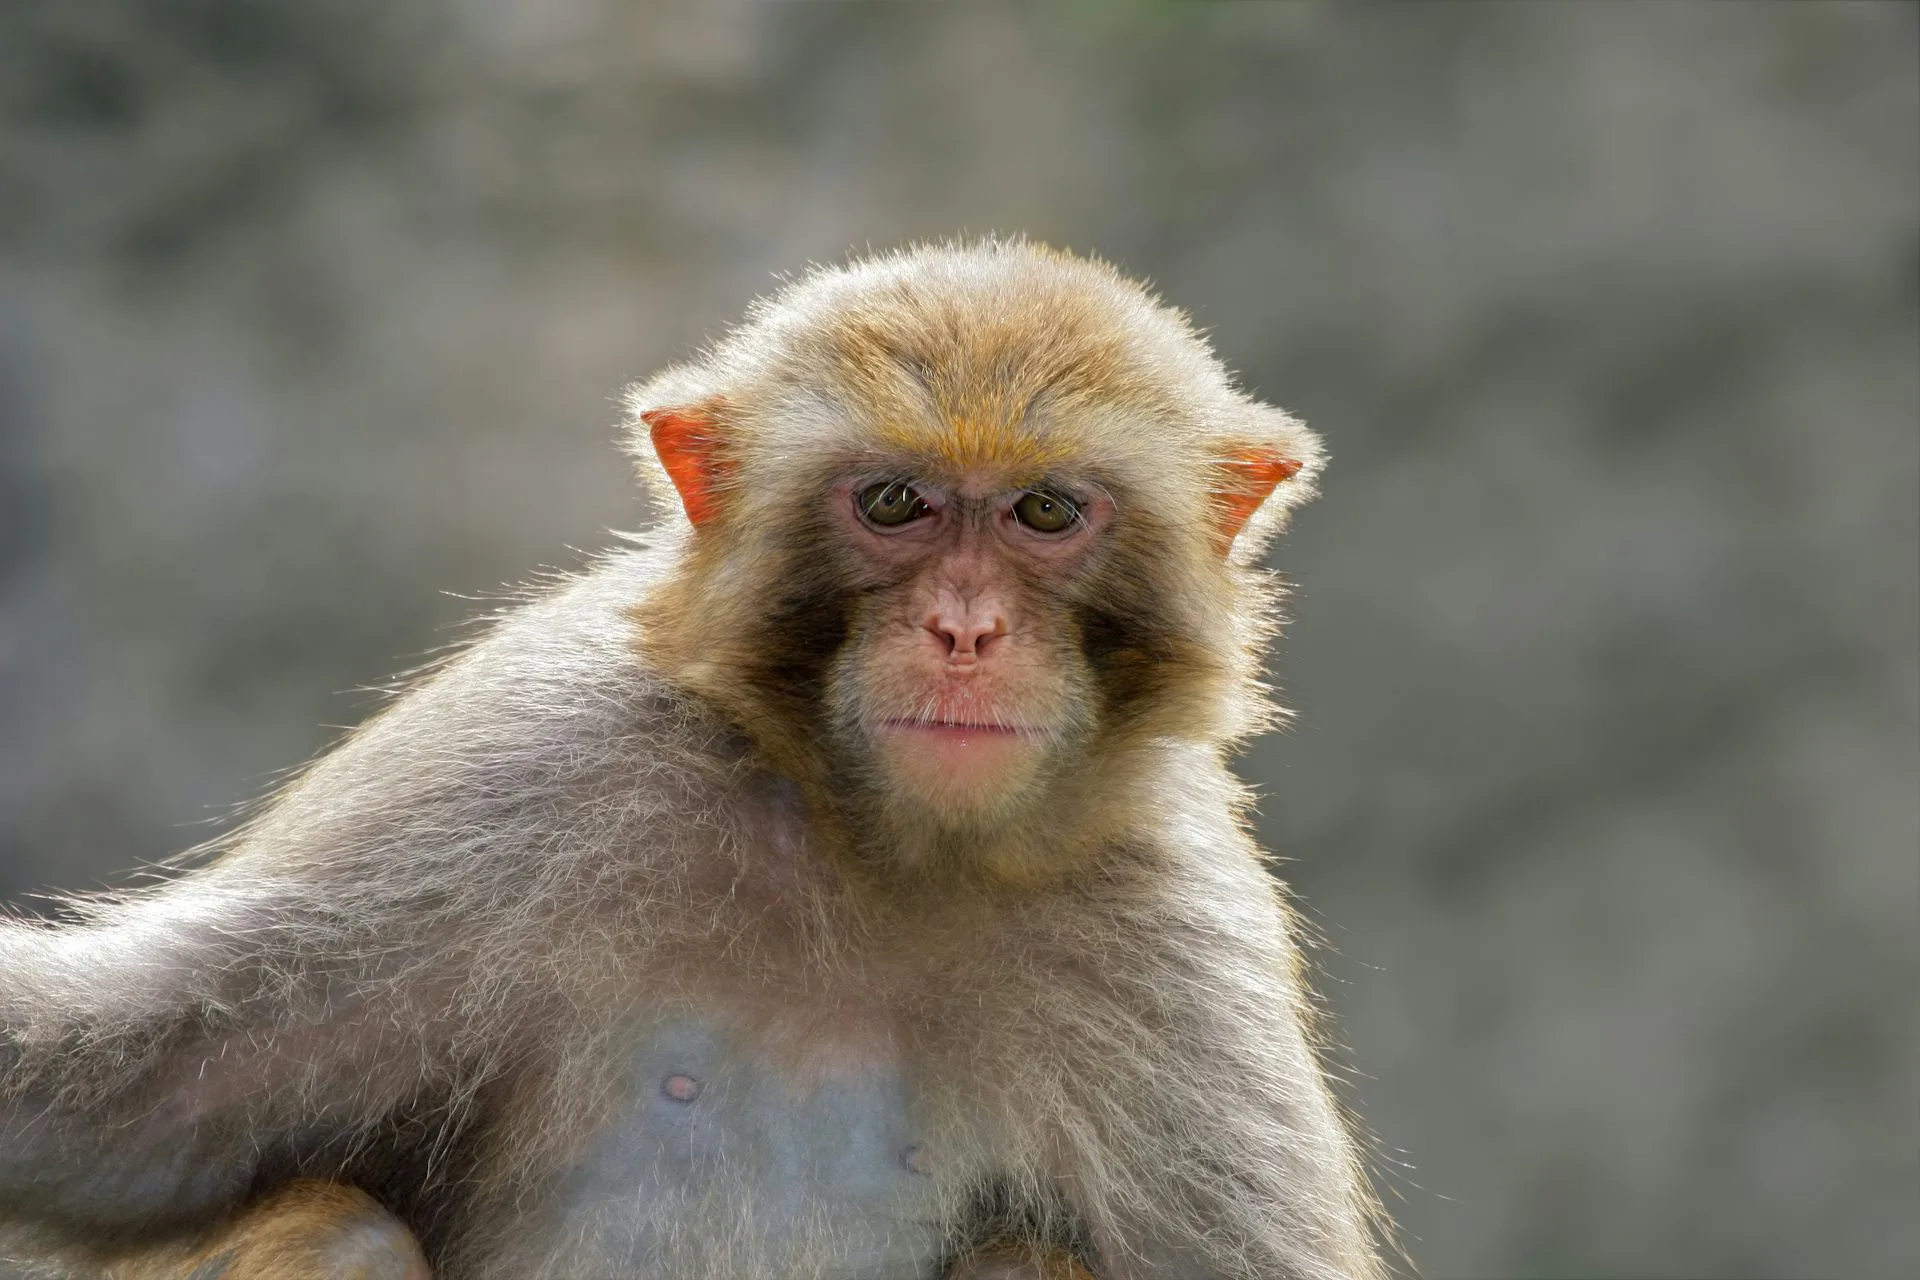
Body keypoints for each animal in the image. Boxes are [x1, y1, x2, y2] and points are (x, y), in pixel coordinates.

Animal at [0, 239, 1387, 1280]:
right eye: (895, 503)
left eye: (1045, 511)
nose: (966, 629)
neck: (880, 858)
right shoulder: (529, 773)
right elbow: (121, 1108)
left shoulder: (1173, 934)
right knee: (342, 1229)